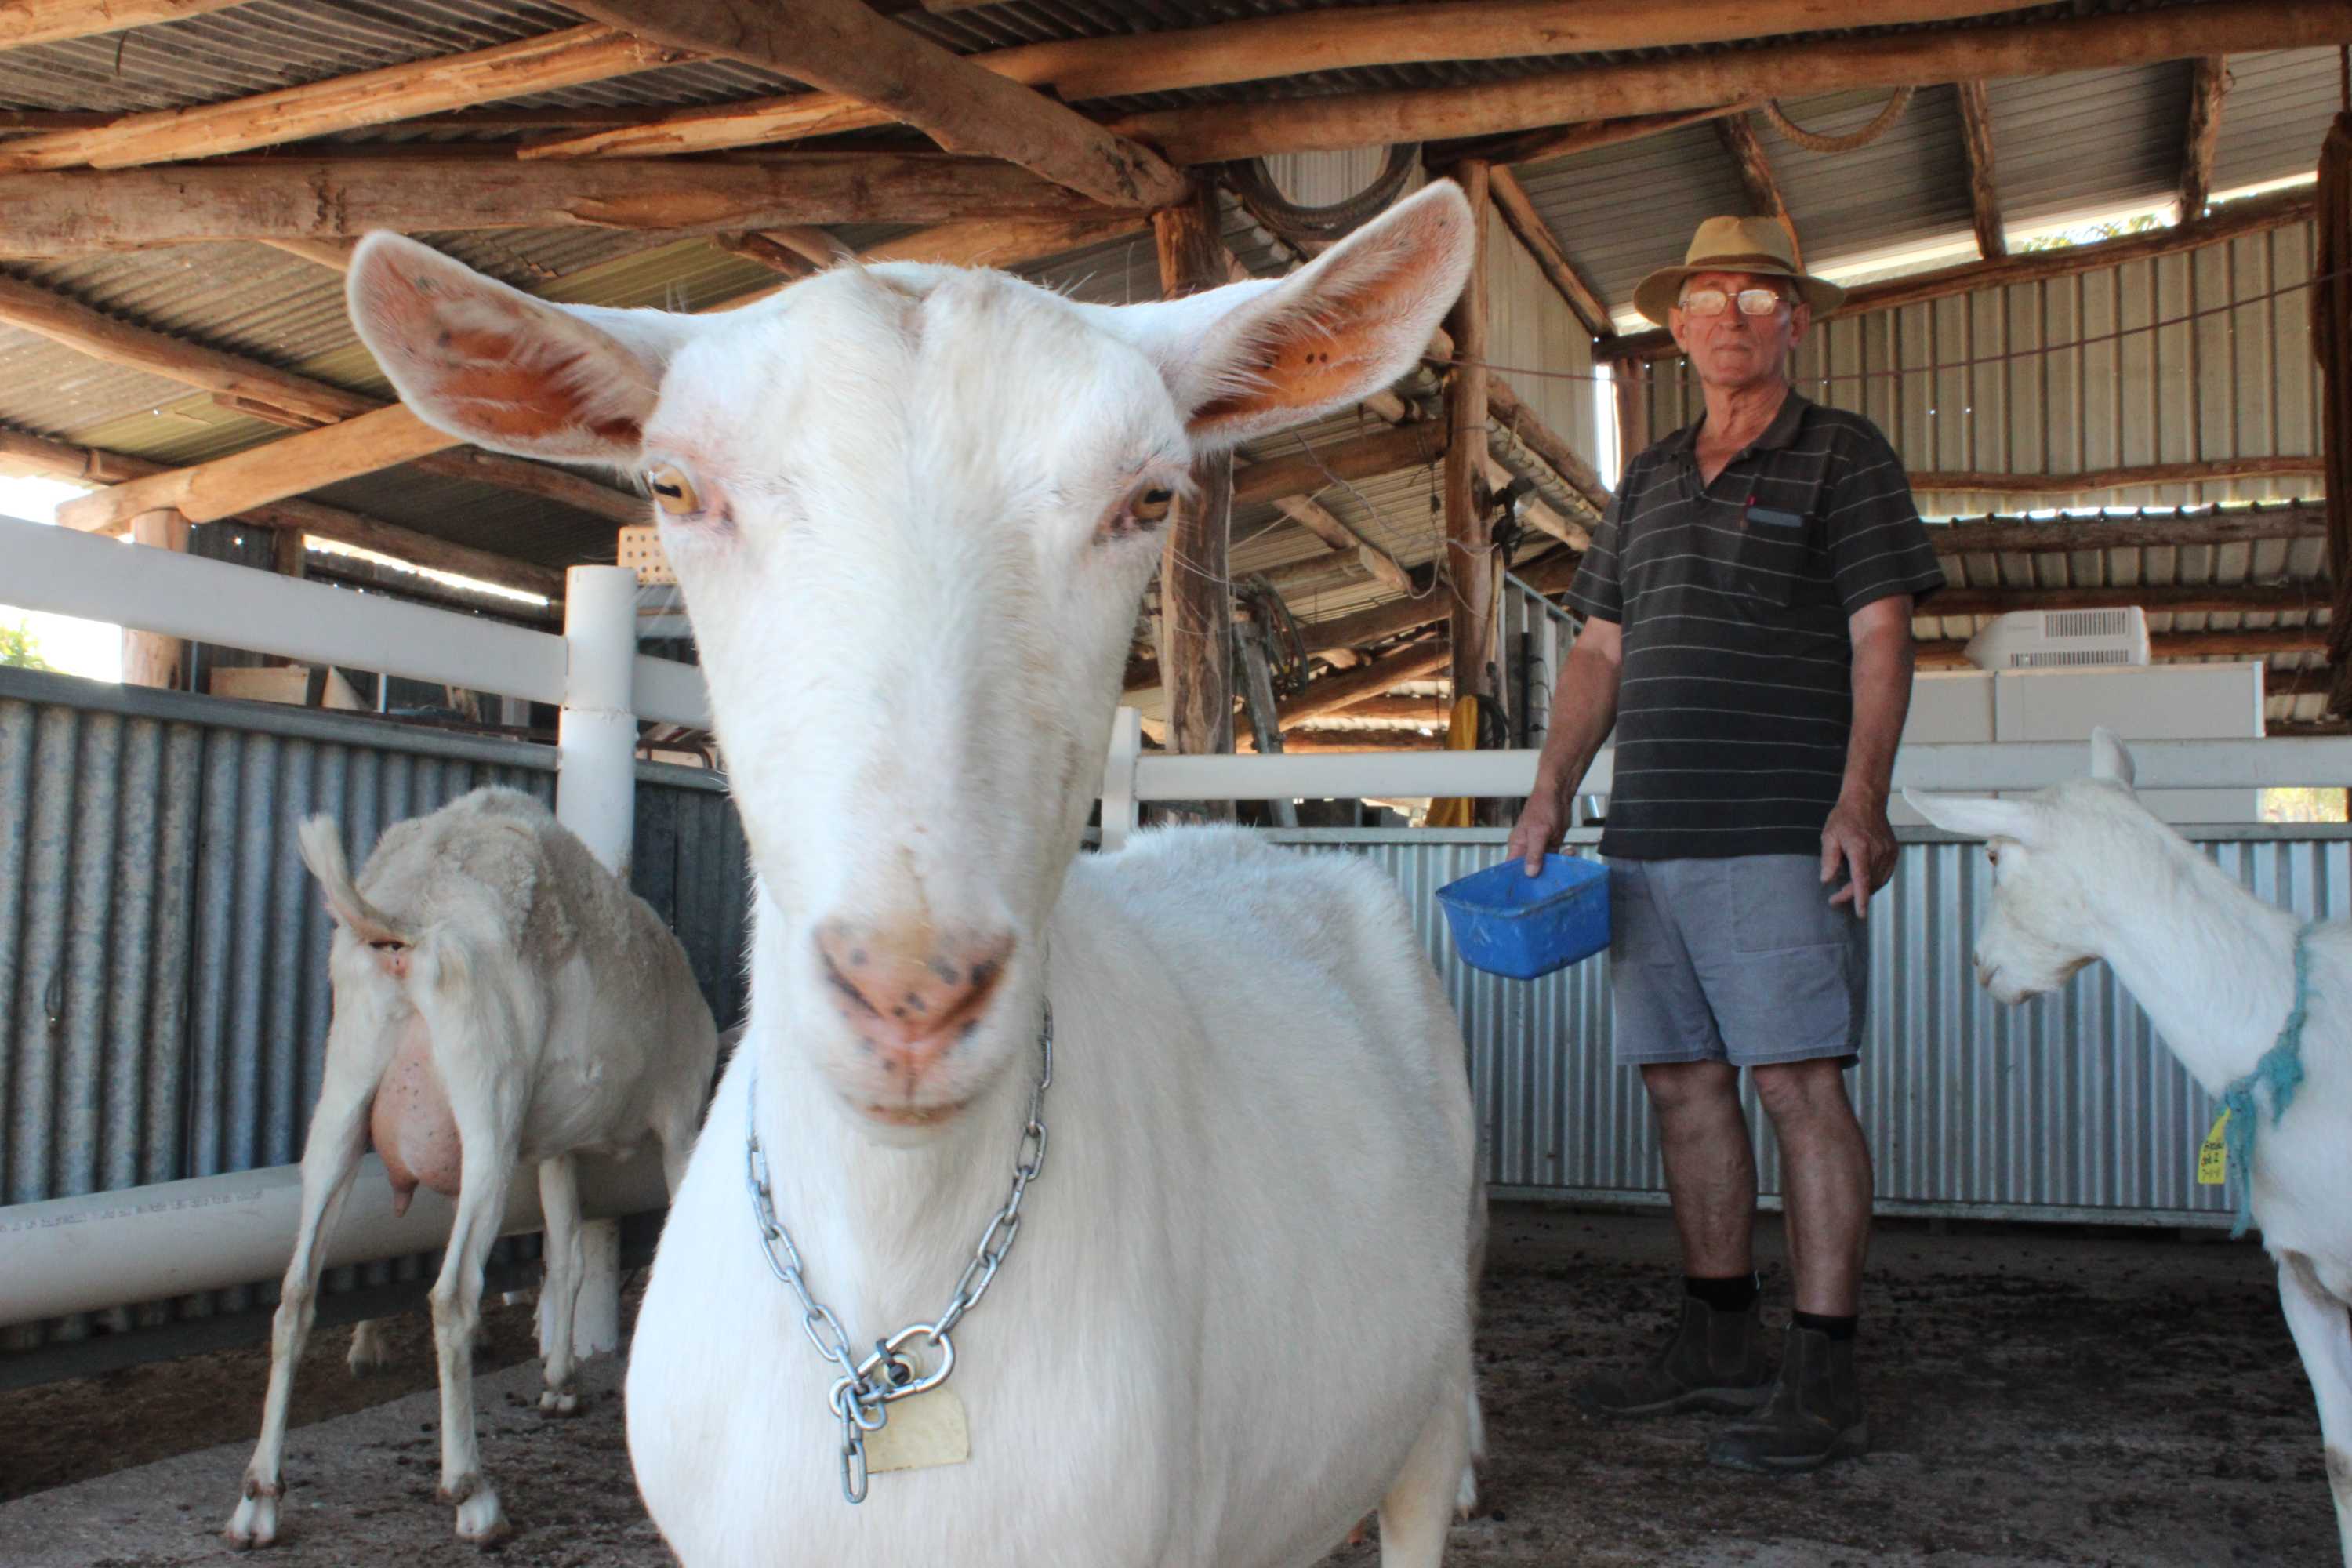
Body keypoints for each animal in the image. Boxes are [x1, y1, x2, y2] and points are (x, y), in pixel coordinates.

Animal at [224, 787, 718, 1548]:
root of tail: (407, 914)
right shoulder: (680, 1119)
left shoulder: (555, 1146)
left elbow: (567, 1254)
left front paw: (559, 1381)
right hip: (488, 1096)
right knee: (452, 1294)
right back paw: (471, 1492)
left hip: (344, 1092)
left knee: (296, 1292)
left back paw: (259, 1498)